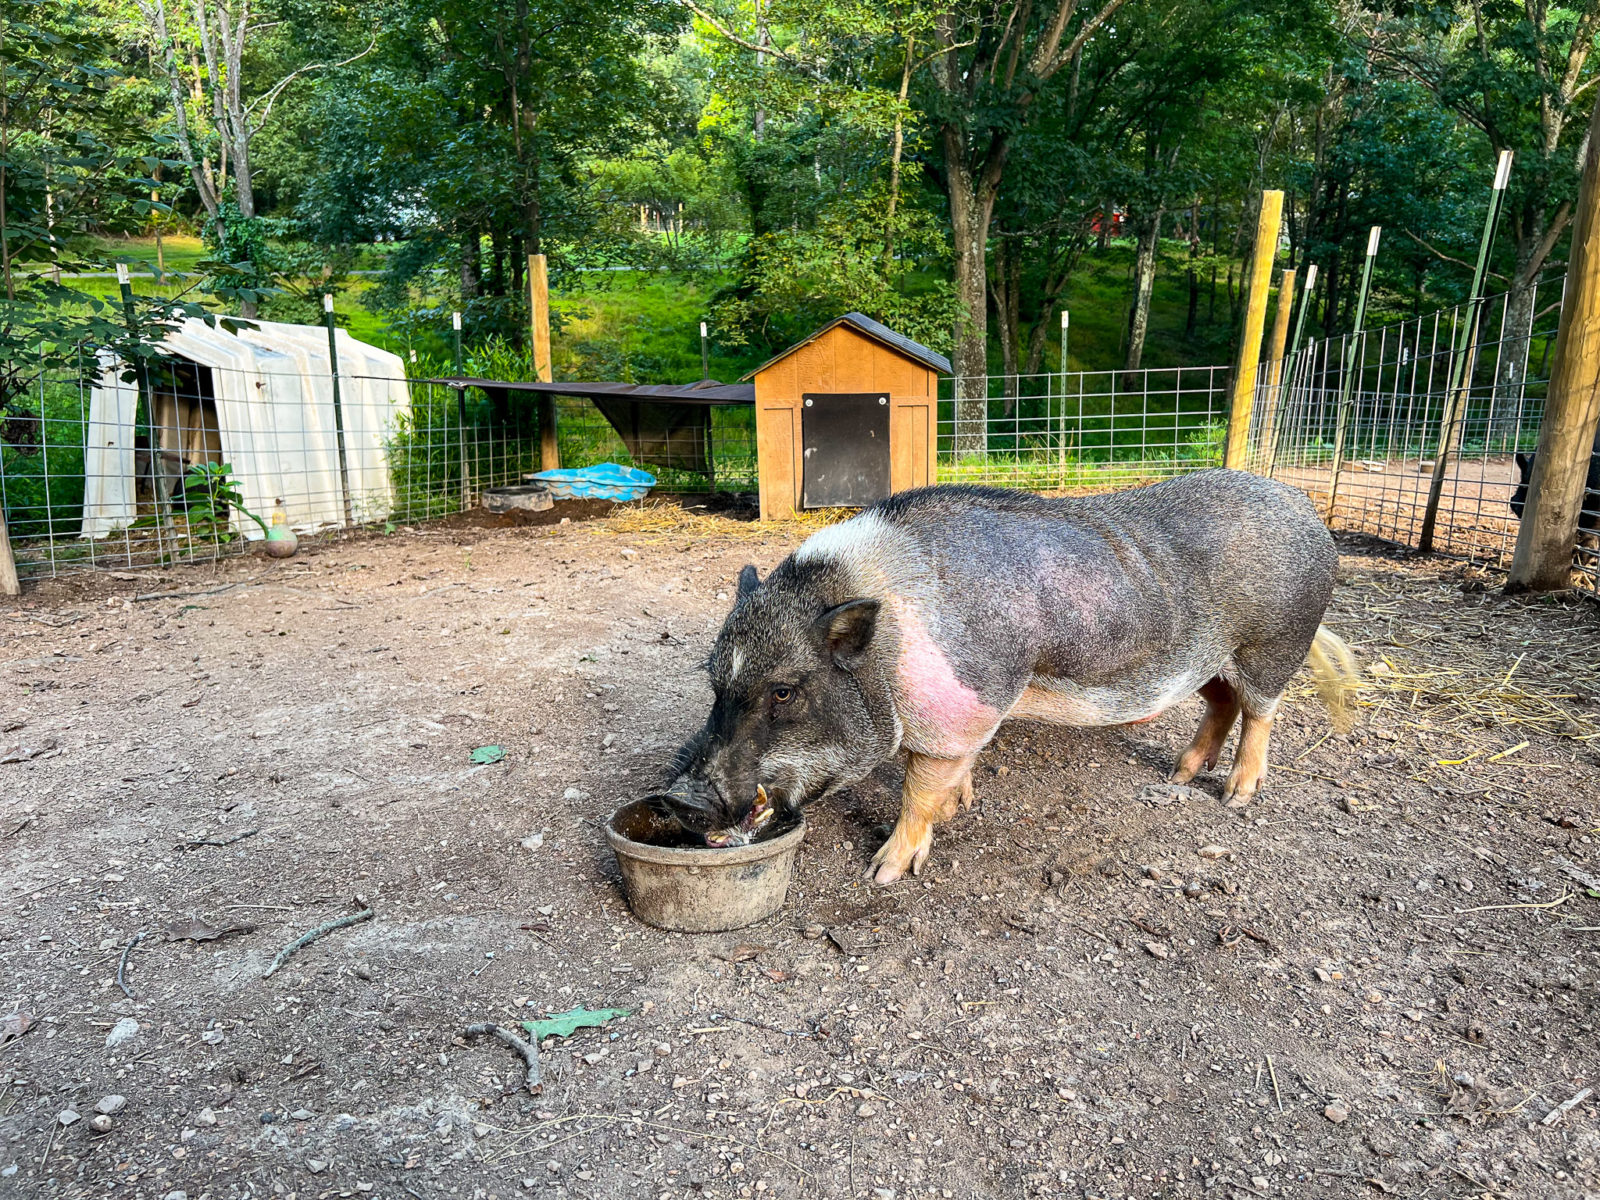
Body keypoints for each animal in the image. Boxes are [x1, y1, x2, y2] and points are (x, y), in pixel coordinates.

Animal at [655, 469, 1359, 885]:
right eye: (716, 686)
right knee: (1221, 703)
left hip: (1276, 642)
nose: (680, 796)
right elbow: (947, 777)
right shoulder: (969, 716)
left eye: (783, 691)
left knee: (1262, 711)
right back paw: (1182, 778)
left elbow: (917, 791)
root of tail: (1306, 510)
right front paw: (960, 806)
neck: (891, 646)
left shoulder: (961, 705)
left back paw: (1236, 798)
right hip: (1208, 659)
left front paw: (884, 874)